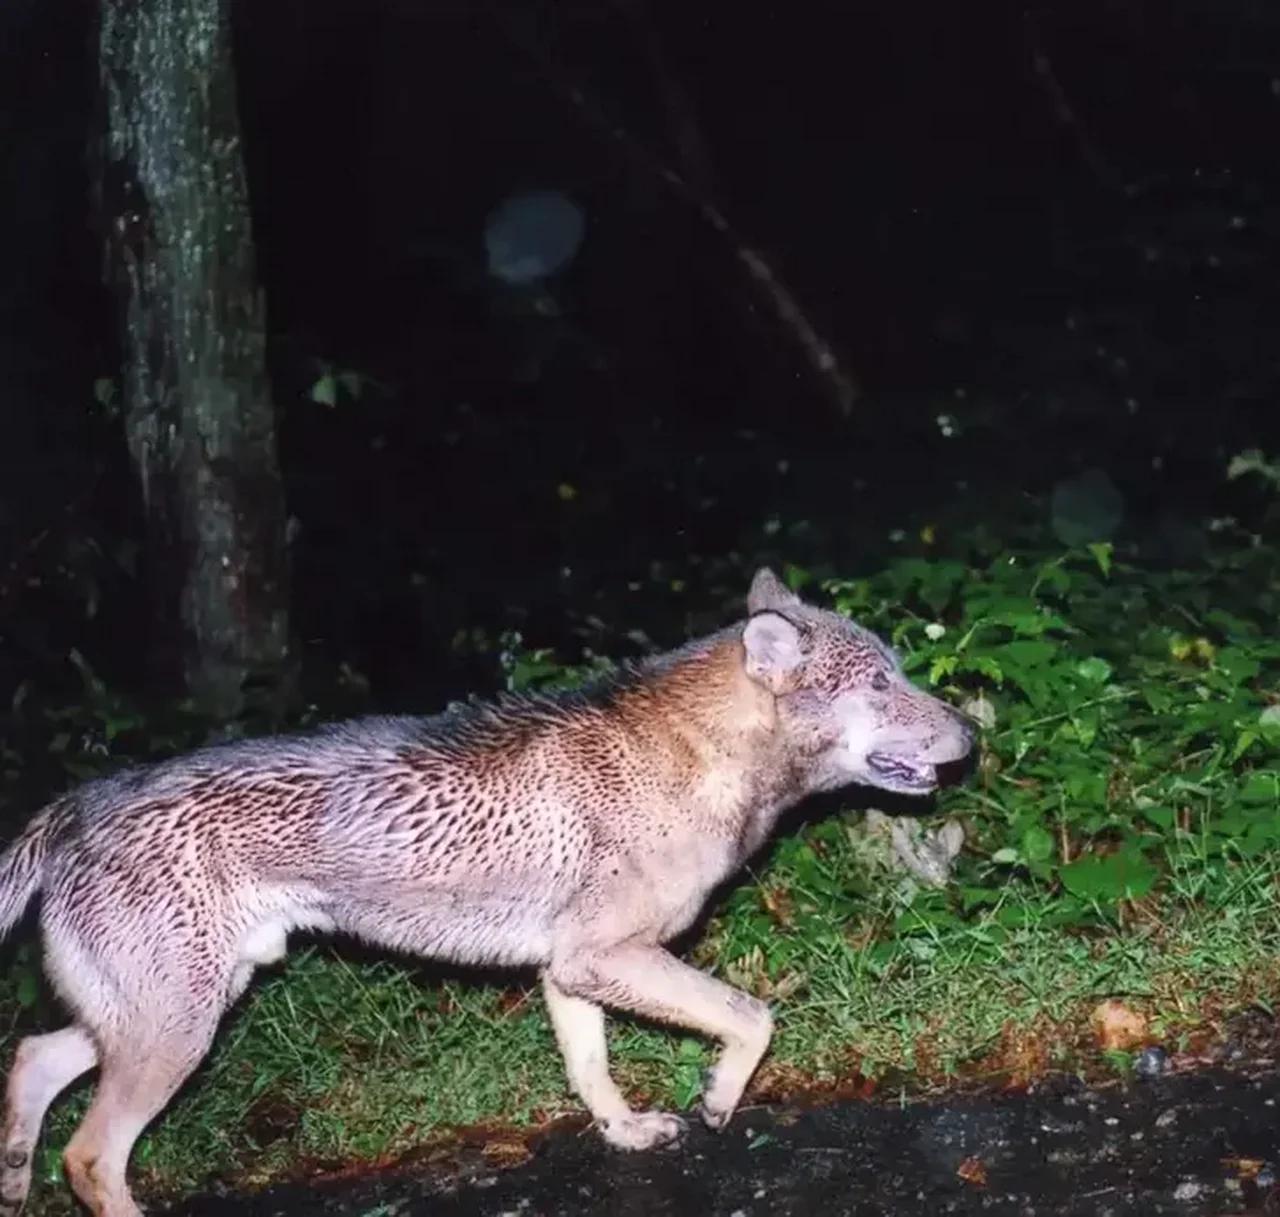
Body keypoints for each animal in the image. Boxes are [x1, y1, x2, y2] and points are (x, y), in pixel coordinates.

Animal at [0, 569, 974, 1217]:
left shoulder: (570, 972)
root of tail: (72, 803)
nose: (971, 732)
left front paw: (627, 1135)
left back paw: (12, 1177)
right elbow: (754, 1016)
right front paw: (720, 1098)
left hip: (170, 1013)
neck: (701, 755)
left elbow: (593, 1071)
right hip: (179, 1029)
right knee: (90, 1155)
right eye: (882, 682)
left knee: (31, 1061)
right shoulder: (606, 957)